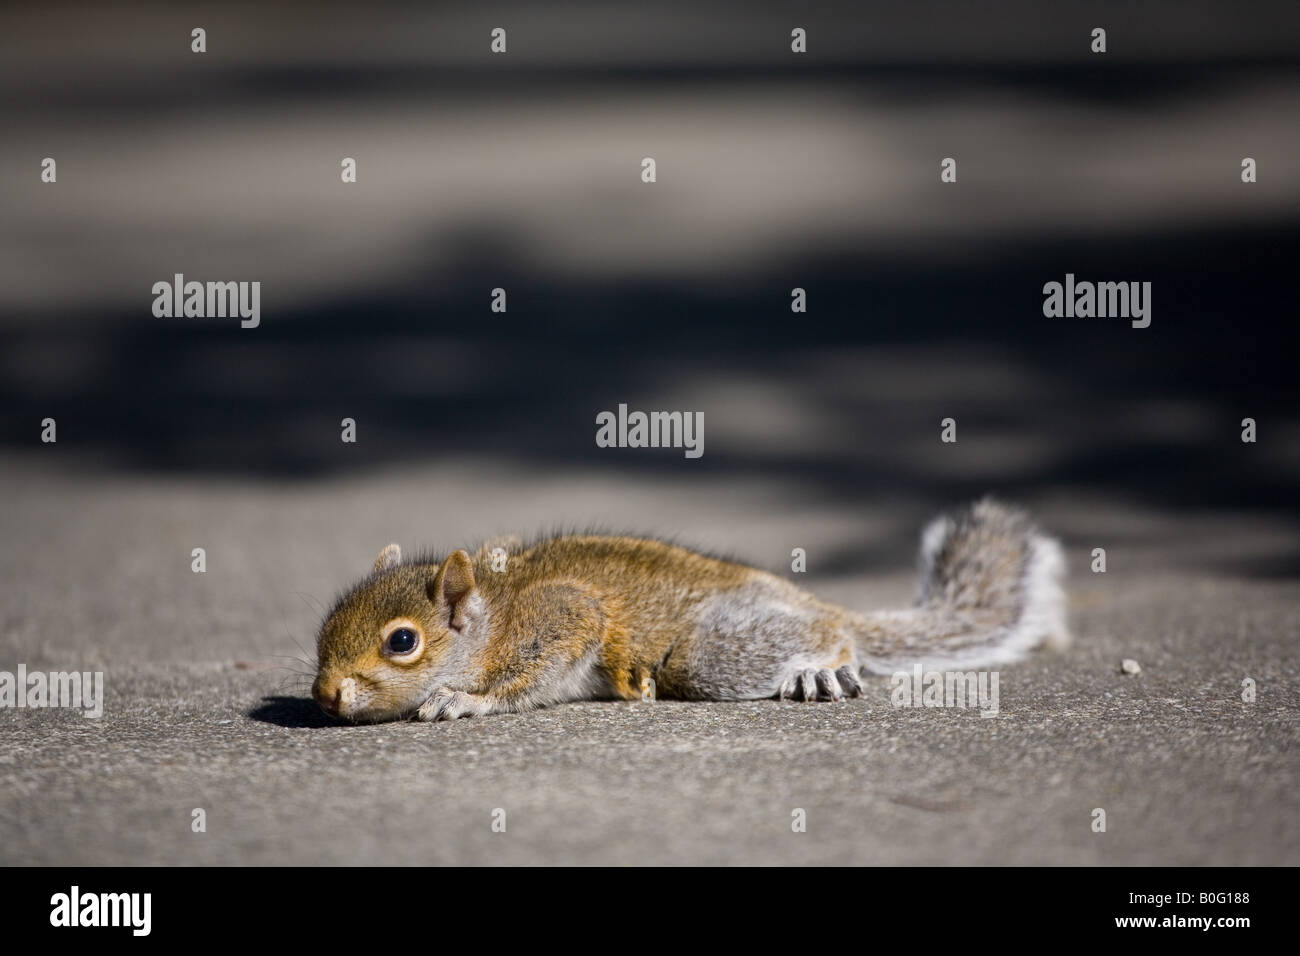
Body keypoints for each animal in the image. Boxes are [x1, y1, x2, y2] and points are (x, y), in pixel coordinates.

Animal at [311, 498, 1069, 722]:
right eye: (324, 628)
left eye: (402, 642)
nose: (324, 695)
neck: (494, 617)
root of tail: (814, 600)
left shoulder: (564, 617)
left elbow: (527, 672)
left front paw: (463, 699)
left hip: (708, 655)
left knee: (830, 637)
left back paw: (819, 667)